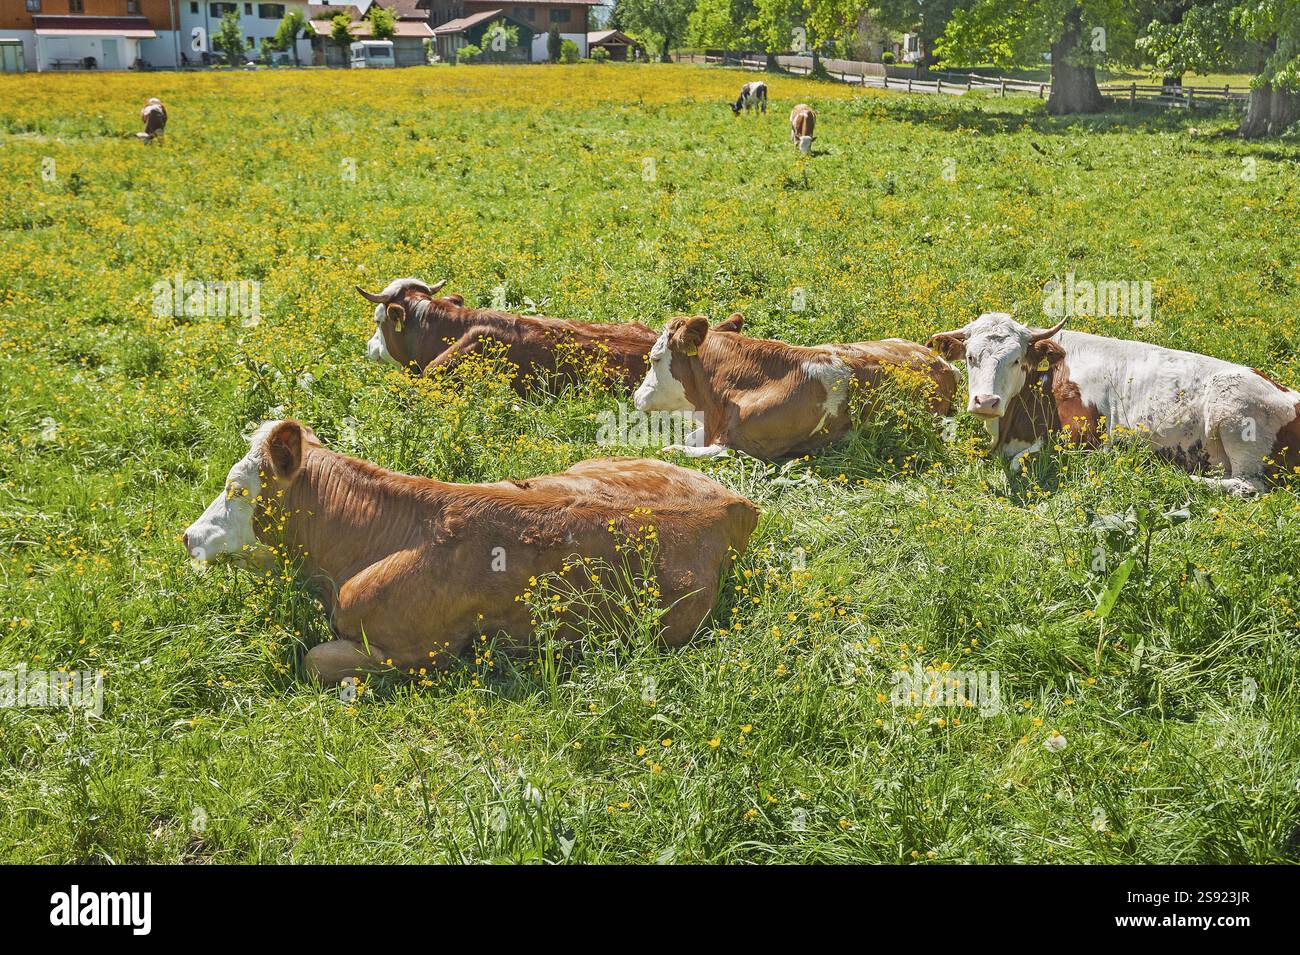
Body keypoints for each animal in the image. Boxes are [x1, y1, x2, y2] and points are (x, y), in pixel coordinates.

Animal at [633, 315, 958, 460]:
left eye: (655, 358)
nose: (637, 396)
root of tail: (940, 361)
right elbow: (688, 438)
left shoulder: (746, 446)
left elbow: (674, 450)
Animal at [926, 312, 1300, 495]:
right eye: (971, 357)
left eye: (1016, 360)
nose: (986, 401)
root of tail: (1288, 393)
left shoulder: (1083, 439)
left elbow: (1020, 462)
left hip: (1235, 417)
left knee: (1246, 485)